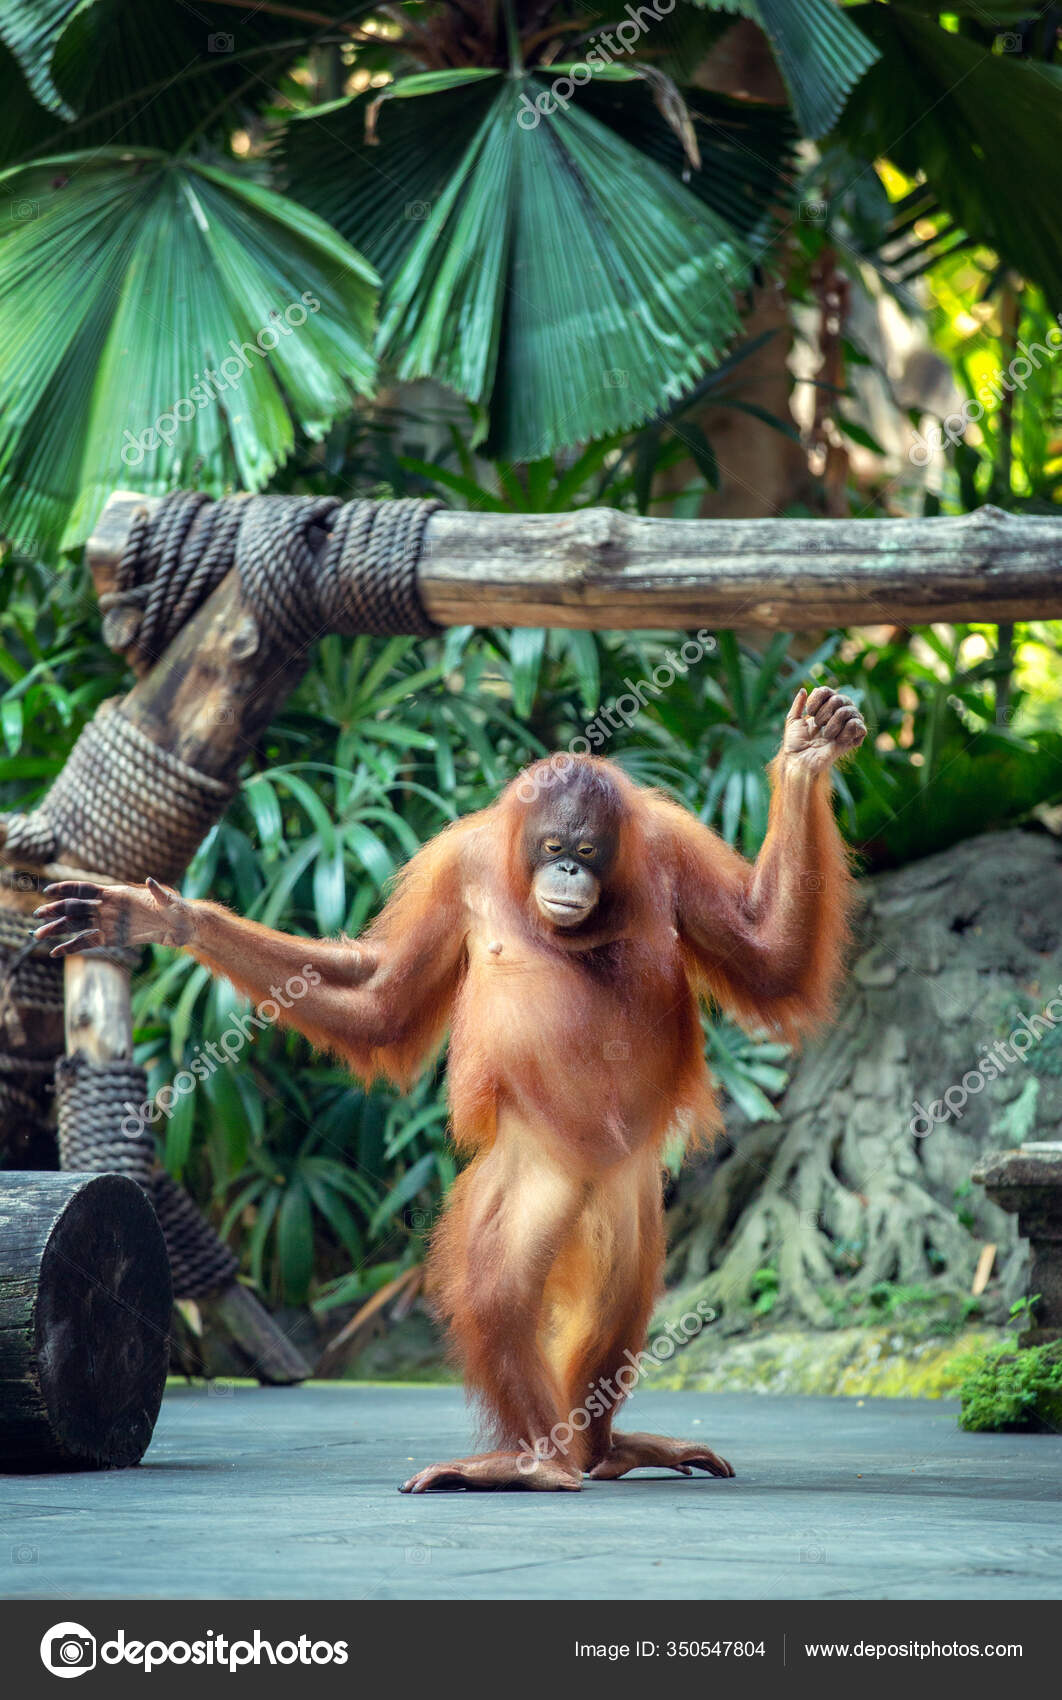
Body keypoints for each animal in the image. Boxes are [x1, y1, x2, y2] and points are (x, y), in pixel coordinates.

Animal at [35, 684, 865, 1492]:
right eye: (554, 849)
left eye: (588, 851)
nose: (569, 874)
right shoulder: (452, 869)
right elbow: (382, 999)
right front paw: (162, 919)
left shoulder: (670, 847)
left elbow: (766, 956)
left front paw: (805, 756)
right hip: (531, 1179)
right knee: (498, 1292)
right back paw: (536, 1462)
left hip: (628, 1201)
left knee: (617, 1305)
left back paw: (600, 1449)